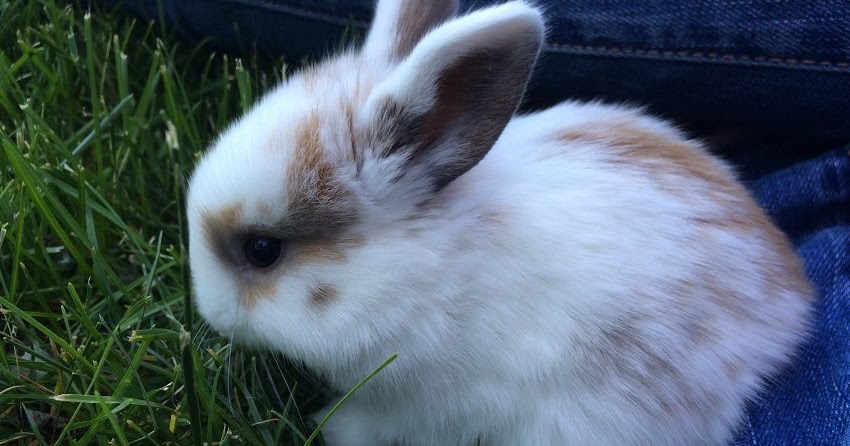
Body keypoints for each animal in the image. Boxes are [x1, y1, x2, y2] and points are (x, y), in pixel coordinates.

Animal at [185, 0, 814, 445]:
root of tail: (792, 306)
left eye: (263, 250)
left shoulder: (424, 408)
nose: (209, 313)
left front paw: (328, 425)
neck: (424, 271)